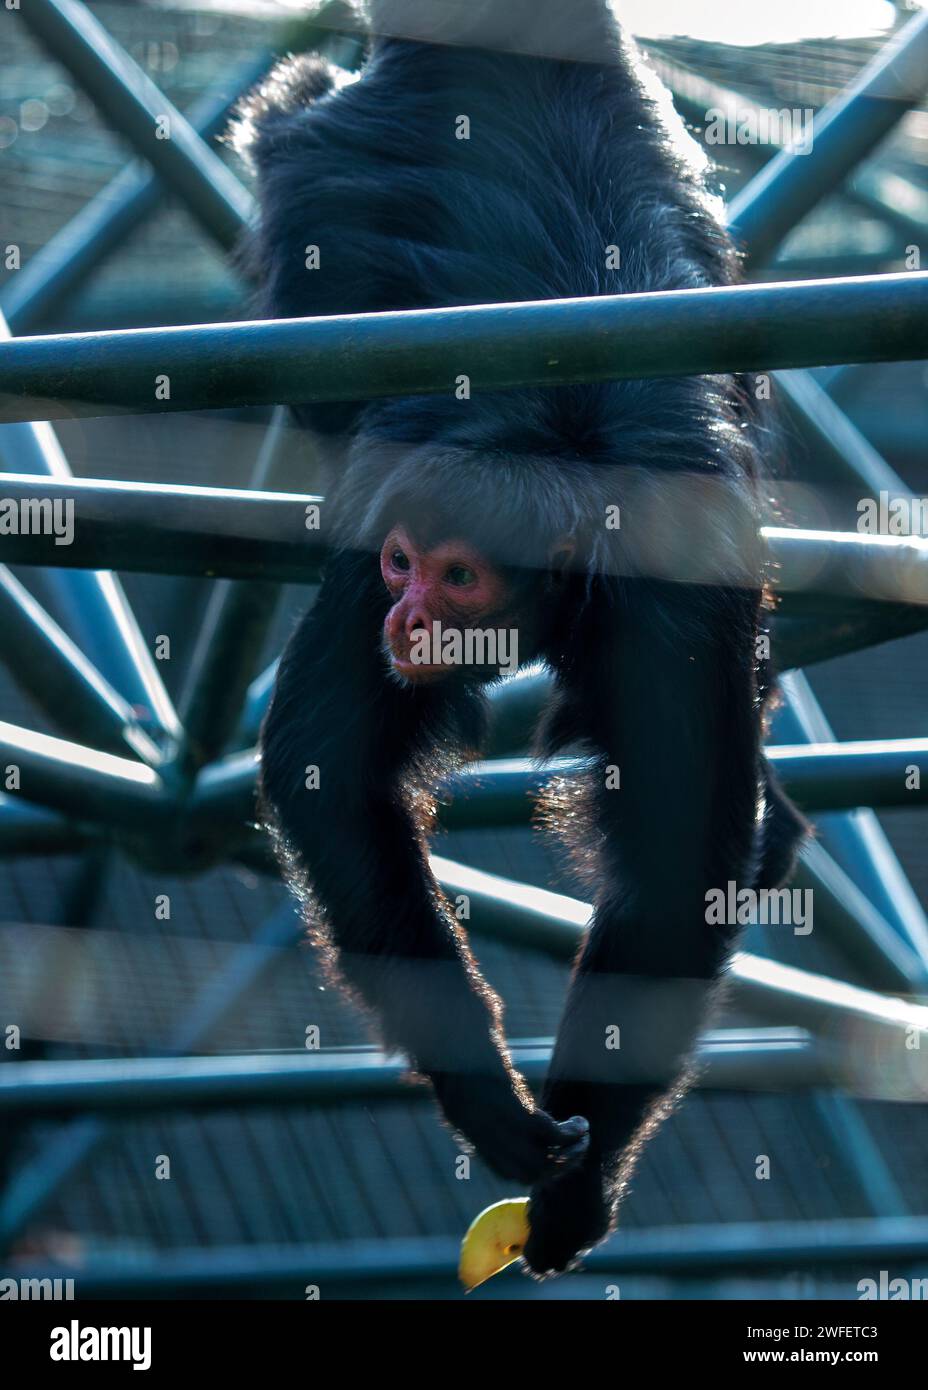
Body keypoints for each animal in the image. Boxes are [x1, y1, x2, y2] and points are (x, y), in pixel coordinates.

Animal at [232, 0, 808, 1274]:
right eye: (404, 566)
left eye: (457, 579)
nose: (406, 616)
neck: (564, 433)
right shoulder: (387, 515)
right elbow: (327, 769)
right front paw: (491, 1102)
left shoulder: (676, 587)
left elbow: (678, 867)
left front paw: (581, 1181)